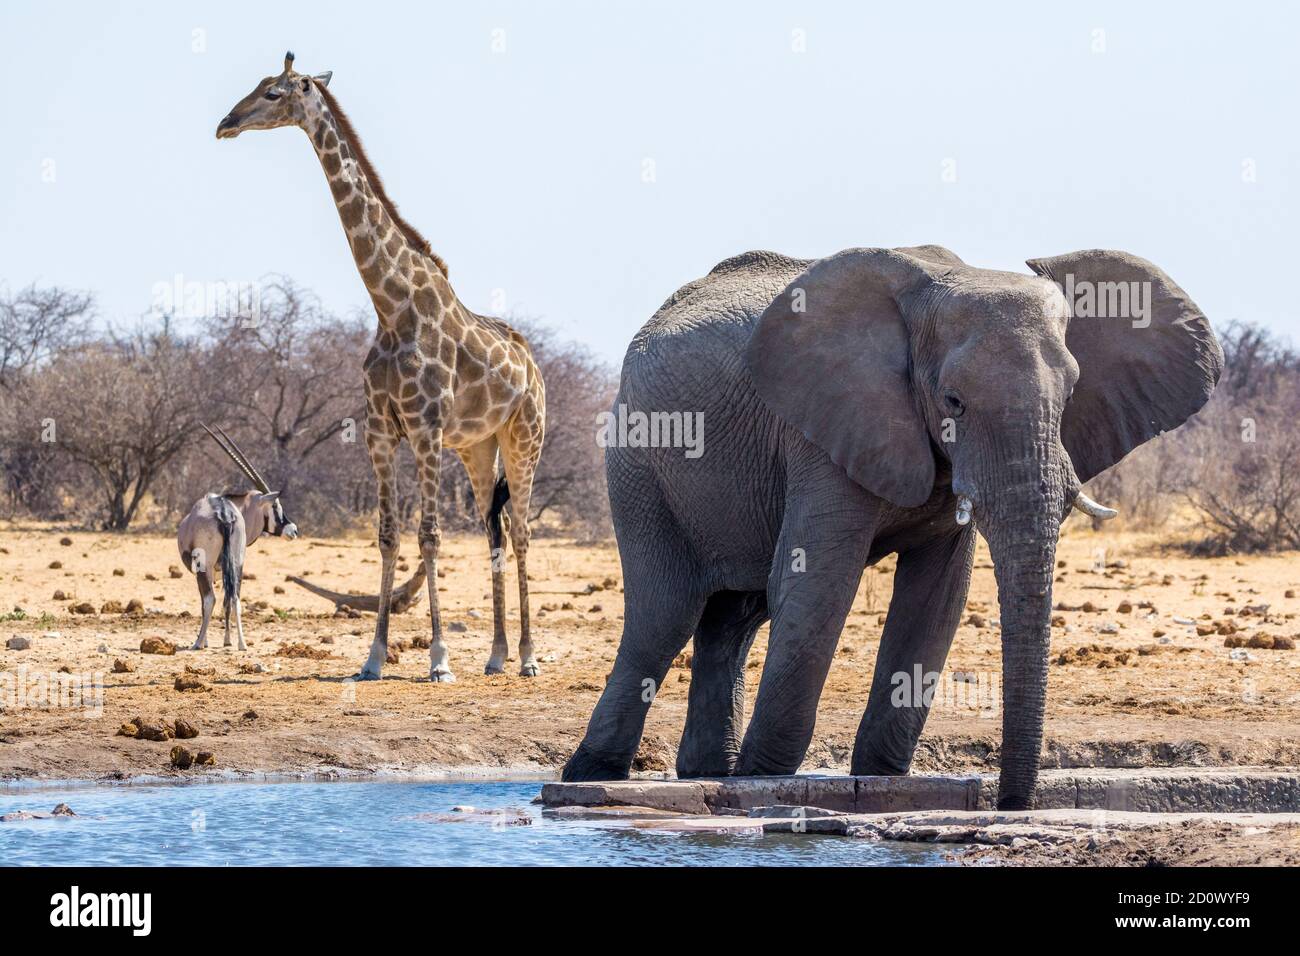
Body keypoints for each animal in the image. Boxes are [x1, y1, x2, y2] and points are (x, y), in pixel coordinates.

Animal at [217, 53, 545, 681]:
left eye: (273, 92)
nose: (225, 122)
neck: (392, 306)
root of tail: (534, 367)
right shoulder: (380, 432)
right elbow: (389, 535)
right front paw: (372, 658)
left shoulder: (425, 429)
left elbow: (430, 536)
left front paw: (439, 659)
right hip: (478, 447)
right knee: (493, 531)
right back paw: (494, 655)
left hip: (524, 439)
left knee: (519, 532)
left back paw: (527, 657)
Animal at [562, 245, 1222, 809]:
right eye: (953, 402)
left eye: (1072, 396)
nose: (1008, 804)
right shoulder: (820, 430)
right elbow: (820, 584)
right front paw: (763, 779)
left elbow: (935, 599)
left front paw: (879, 779)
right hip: (640, 466)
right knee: (665, 614)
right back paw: (592, 776)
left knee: (734, 618)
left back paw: (704, 772)